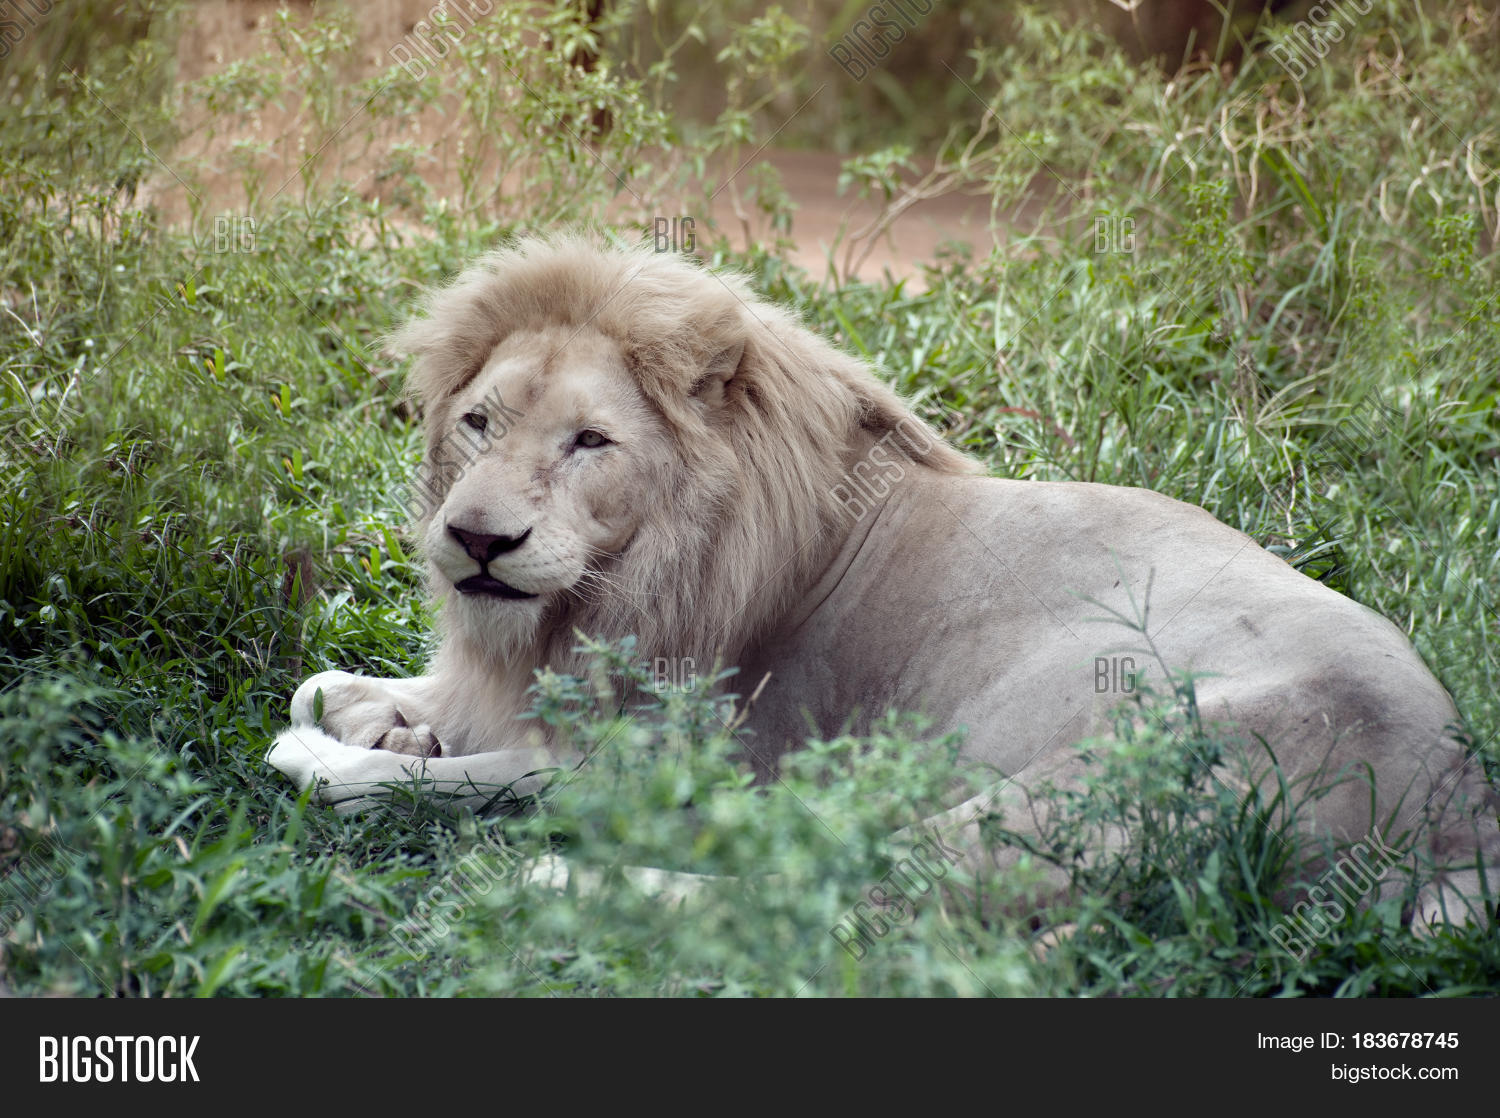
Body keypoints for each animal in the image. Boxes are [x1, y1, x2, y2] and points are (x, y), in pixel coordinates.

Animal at [268, 233, 1498, 931]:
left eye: (589, 443)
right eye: (479, 421)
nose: (474, 539)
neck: (626, 588)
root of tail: (1460, 804)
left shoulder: (687, 765)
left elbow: (480, 776)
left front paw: (343, 757)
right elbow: (354, 688)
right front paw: (384, 713)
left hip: (1068, 787)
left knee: (858, 902)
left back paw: (547, 889)